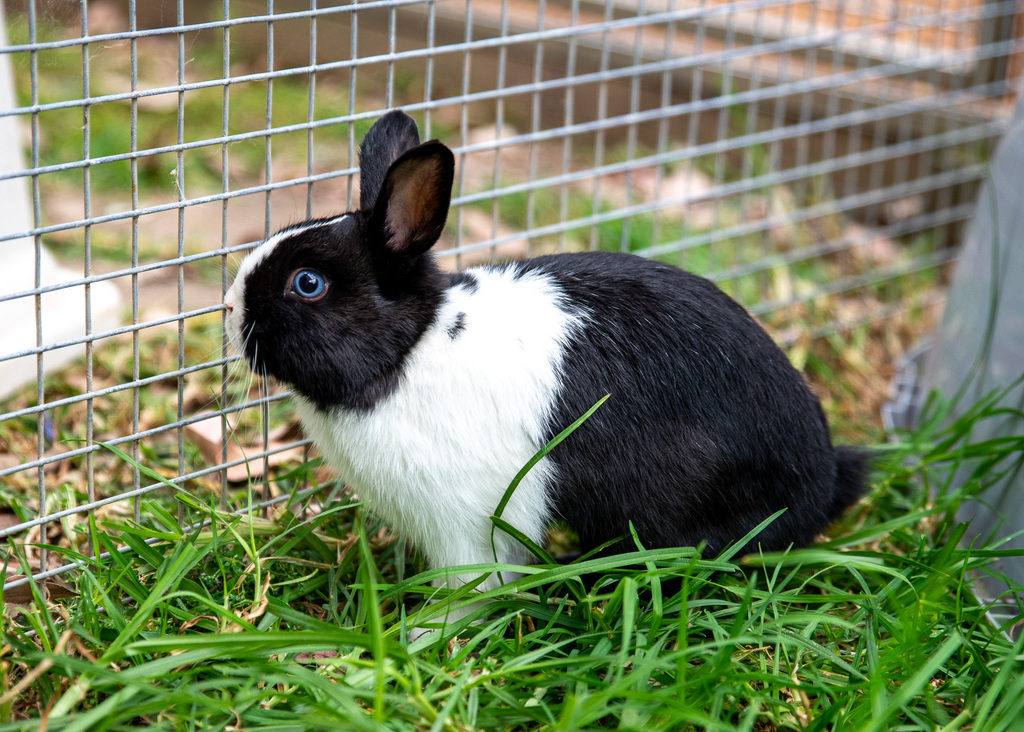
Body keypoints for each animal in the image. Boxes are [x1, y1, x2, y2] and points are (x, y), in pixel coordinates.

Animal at [224, 109, 866, 629]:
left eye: (308, 283)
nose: (228, 310)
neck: (412, 348)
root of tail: (821, 482)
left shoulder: (466, 526)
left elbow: (472, 589)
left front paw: (427, 635)